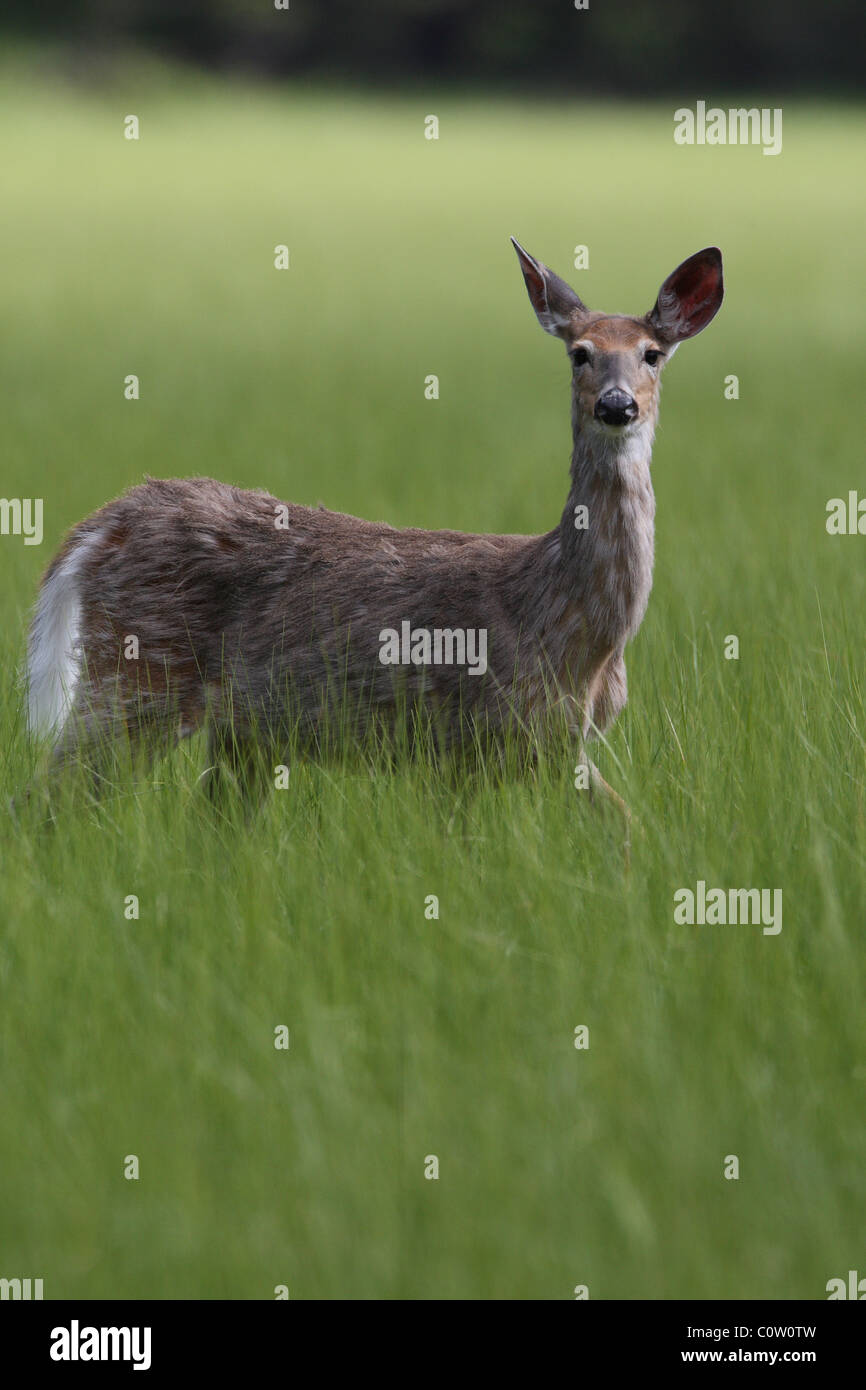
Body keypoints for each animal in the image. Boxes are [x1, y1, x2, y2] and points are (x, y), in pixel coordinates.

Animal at [26, 240, 723, 833]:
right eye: (579, 352)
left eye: (652, 353)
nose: (617, 404)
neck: (569, 625)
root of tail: (102, 525)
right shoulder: (457, 738)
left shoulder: (559, 748)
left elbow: (626, 830)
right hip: (136, 674)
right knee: (47, 797)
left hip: (237, 729)